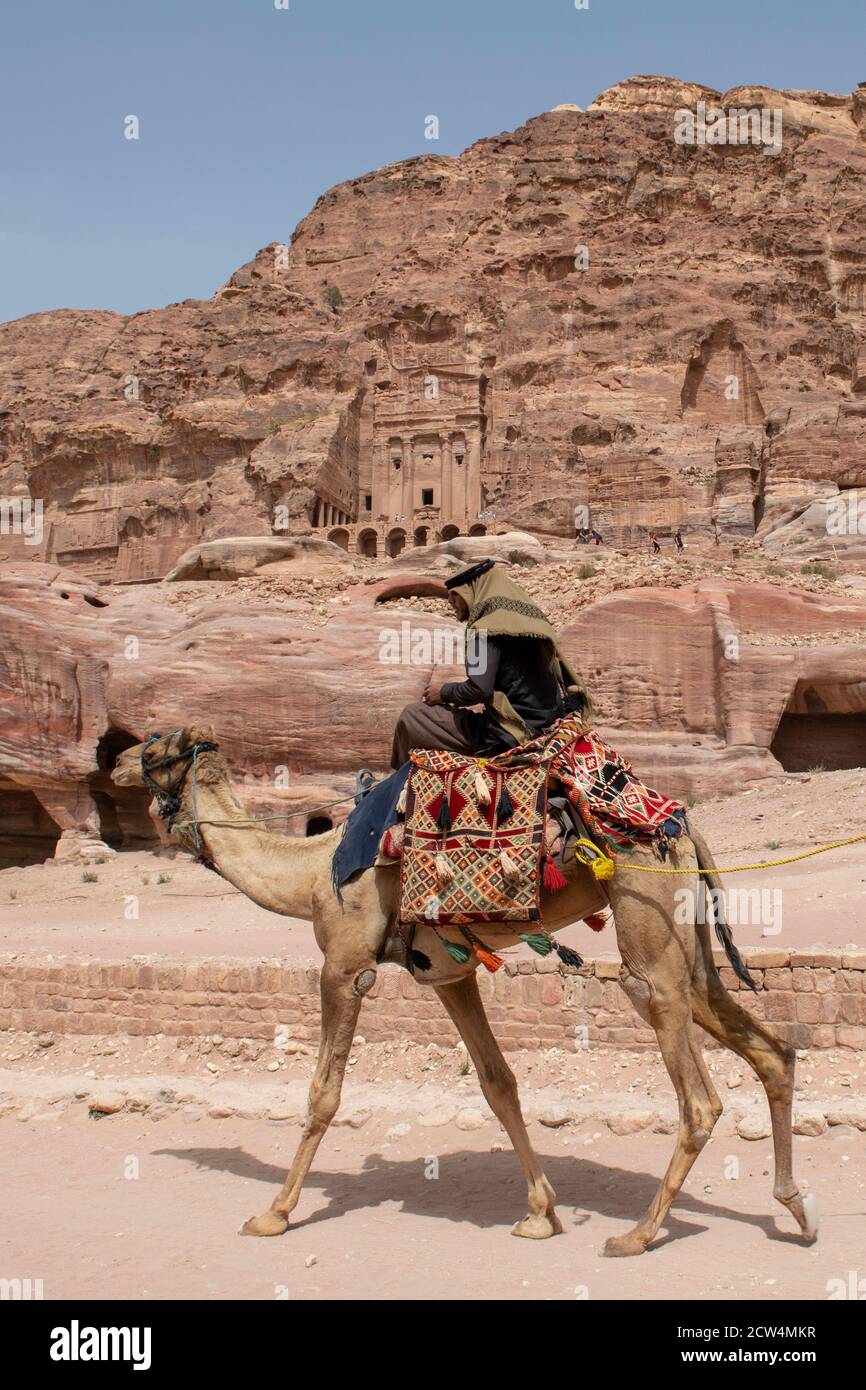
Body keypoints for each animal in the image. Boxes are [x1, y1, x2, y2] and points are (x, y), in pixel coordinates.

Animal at [111, 726, 818, 1255]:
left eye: (153, 746)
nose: (112, 760)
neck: (311, 875)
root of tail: (680, 824)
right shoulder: (449, 975)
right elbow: (498, 1084)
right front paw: (539, 1212)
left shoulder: (344, 966)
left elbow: (322, 1095)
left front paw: (274, 1212)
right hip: (688, 936)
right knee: (768, 1046)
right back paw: (795, 1210)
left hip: (645, 918)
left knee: (693, 1085)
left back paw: (640, 1234)